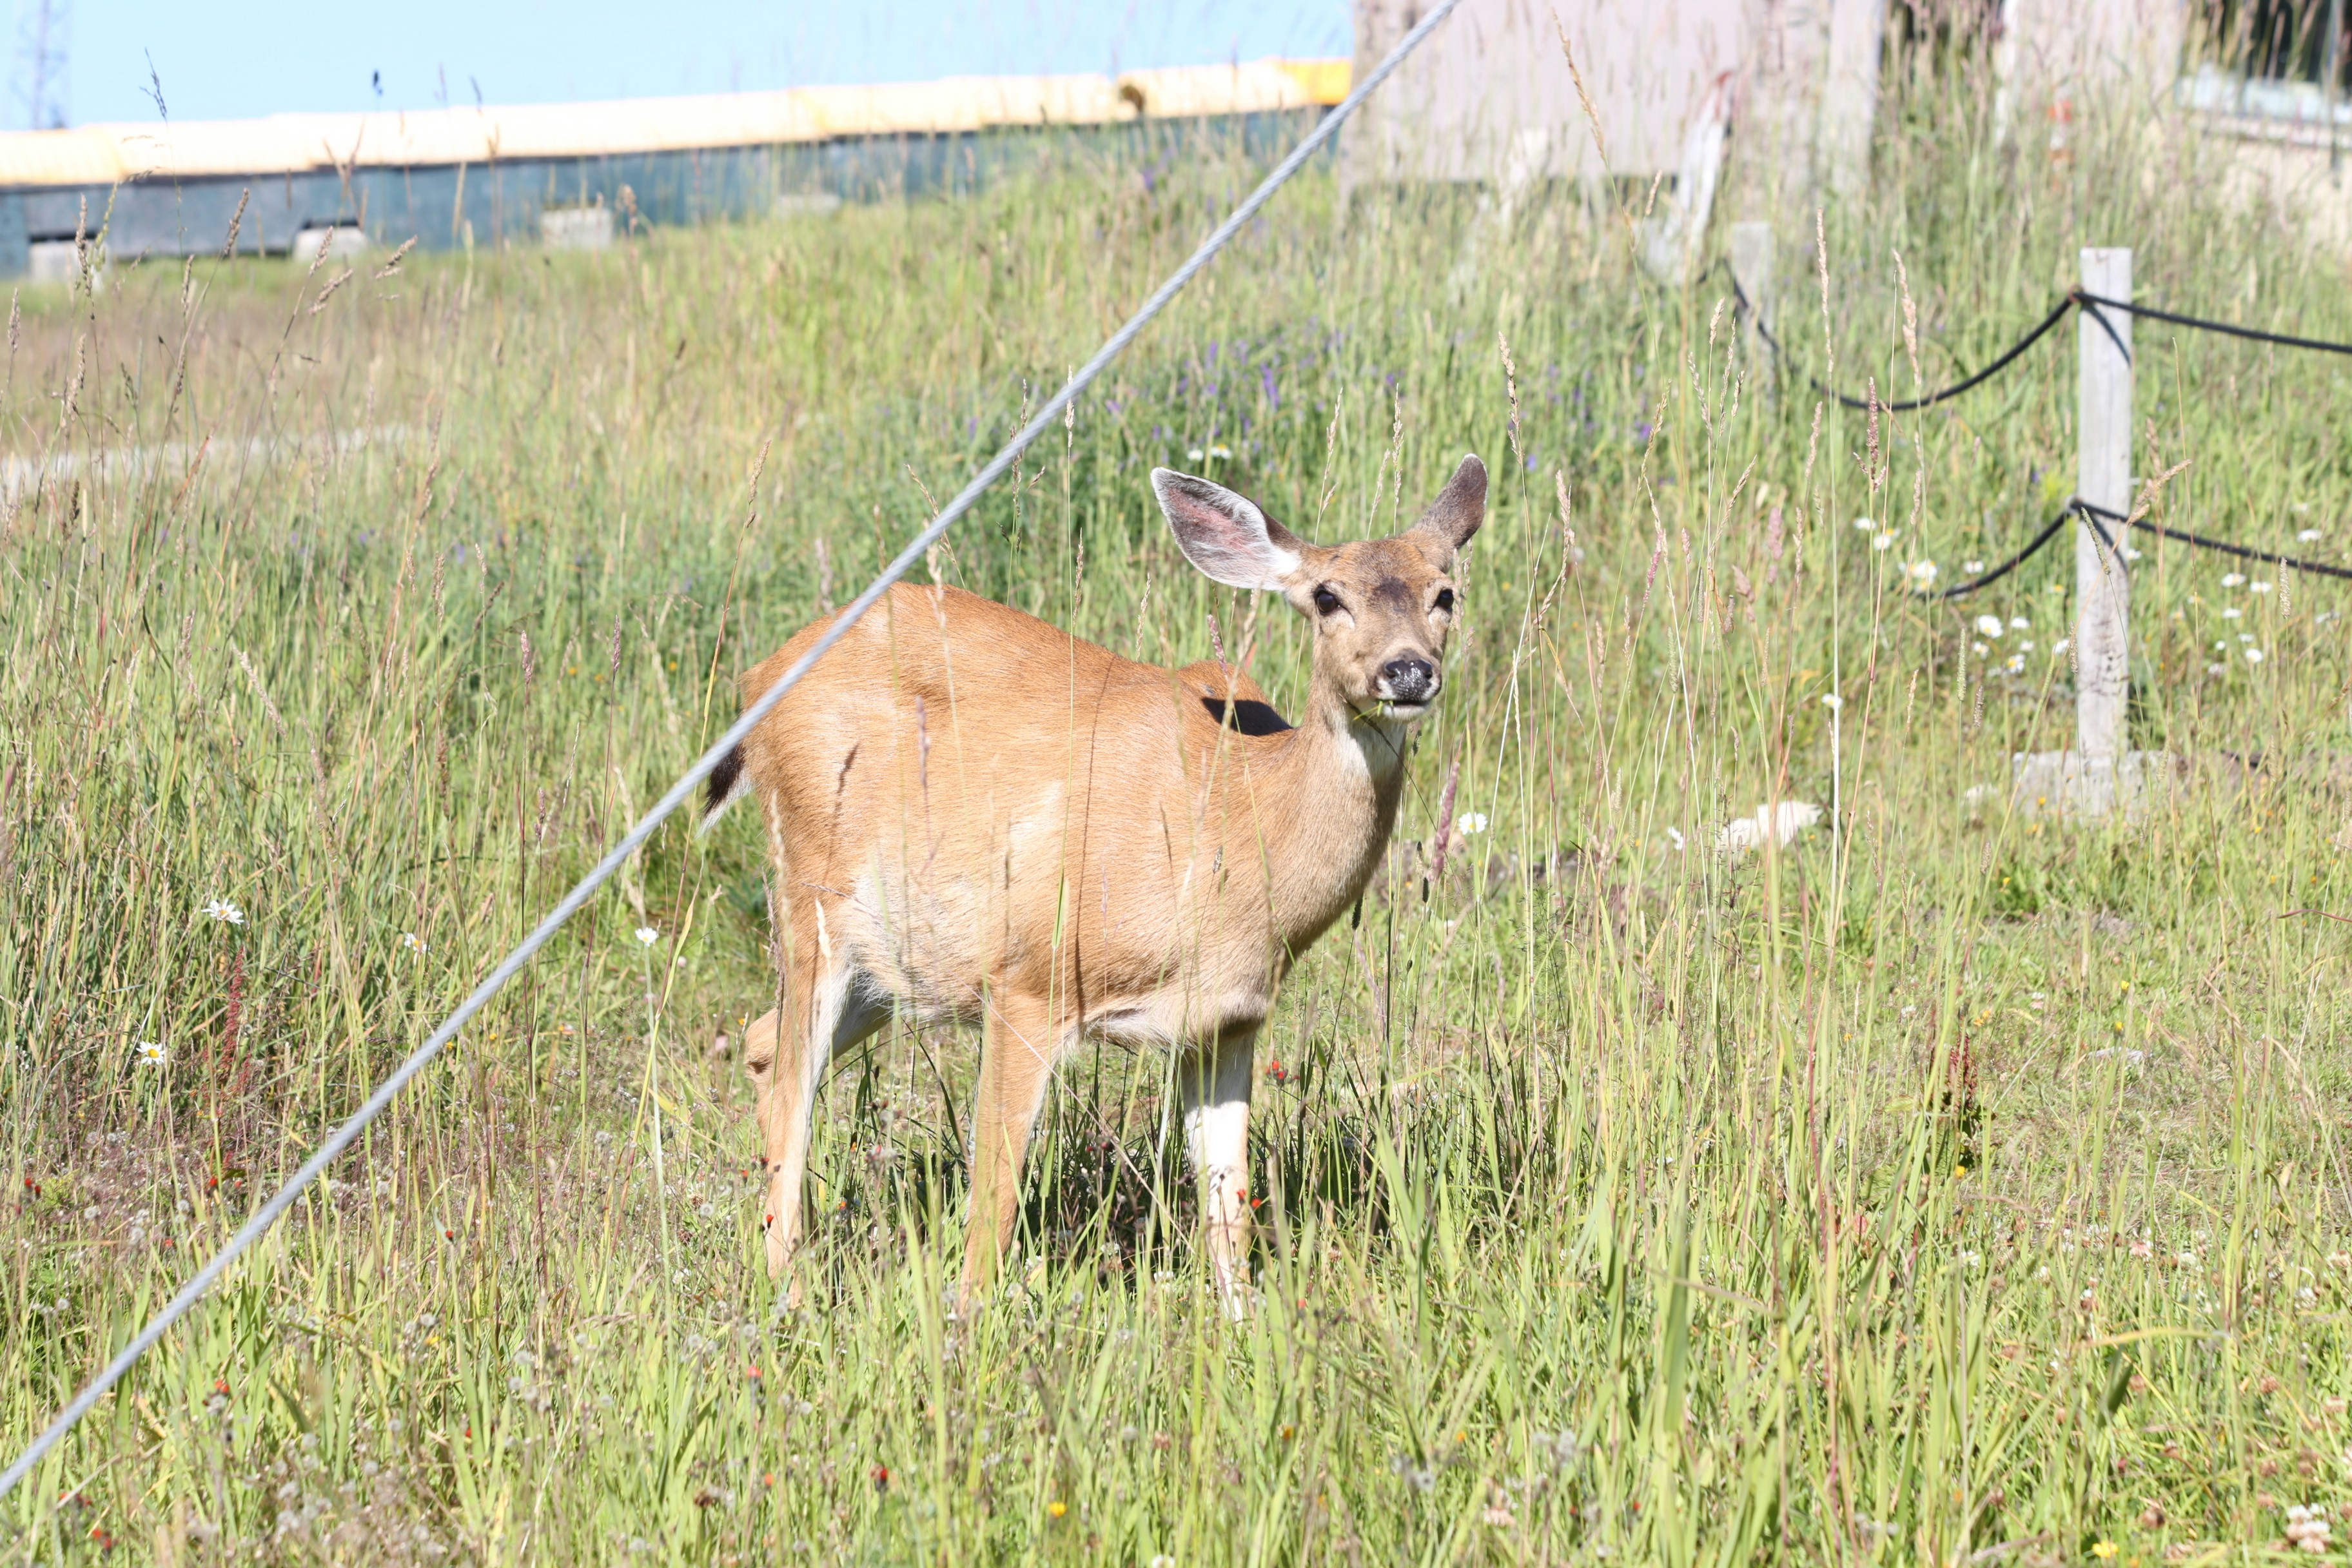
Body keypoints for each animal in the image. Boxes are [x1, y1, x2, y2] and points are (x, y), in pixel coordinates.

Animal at [703, 454, 1486, 1309]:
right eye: (1327, 596)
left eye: (1446, 592)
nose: (1407, 670)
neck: (1237, 818)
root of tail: (756, 682)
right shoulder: (1028, 976)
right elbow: (993, 1201)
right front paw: (969, 1321)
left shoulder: (1228, 1021)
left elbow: (1228, 1202)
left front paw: (1242, 1321)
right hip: (813, 887)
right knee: (790, 1082)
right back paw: (788, 1288)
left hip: (896, 958)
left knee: (761, 1044)